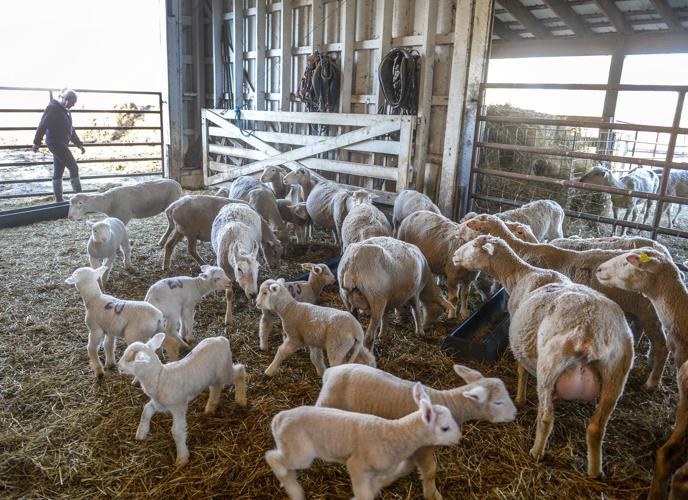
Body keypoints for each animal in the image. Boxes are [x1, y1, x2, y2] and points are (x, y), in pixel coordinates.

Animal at [117, 333, 247, 468]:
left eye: (130, 359)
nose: (118, 366)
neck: (160, 377)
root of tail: (222, 339)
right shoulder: (159, 404)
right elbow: (146, 410)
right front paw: (141, 432)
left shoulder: (178, 406)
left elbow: (177, 432)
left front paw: (182, 458)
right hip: (213, 376)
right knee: (216, 387)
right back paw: (210, 408)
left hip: (224, 370)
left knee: (239, 371)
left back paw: (241, 399)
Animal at [265, 382, 461, 500]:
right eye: (445, 428)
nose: (459, 438)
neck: (396, 435)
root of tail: (279, 418)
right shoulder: (357, 466)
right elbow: (363, 493)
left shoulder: (373, 473)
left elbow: (371, 490)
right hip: (300, 452)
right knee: (272, 458)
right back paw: (295, 491)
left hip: (291, 447)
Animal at [316, 363, 516, 499]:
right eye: (498, 402)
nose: (515, 414)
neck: (450, 403)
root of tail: (331, 371)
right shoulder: (423, 448)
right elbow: (430, 471)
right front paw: (432, 494)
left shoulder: (412, 447)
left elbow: (406, 467)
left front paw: (385, 481)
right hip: (327, 402)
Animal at [452, 235, 634, 478]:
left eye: (474, 245)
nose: (454, 256)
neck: (518, 274)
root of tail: (591, 329)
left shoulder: (518, 337)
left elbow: (521, 369)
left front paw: (519, 398)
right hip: (616, 375)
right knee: (597, 428)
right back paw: (595, 471)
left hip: (550, 365)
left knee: (546, 416)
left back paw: (536, 452)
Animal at [465, 214, 668, 390]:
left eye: (480, 220)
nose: (467, 223)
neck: (523, 251)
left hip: (650, 312)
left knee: (662, 346)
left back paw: (652, 382)